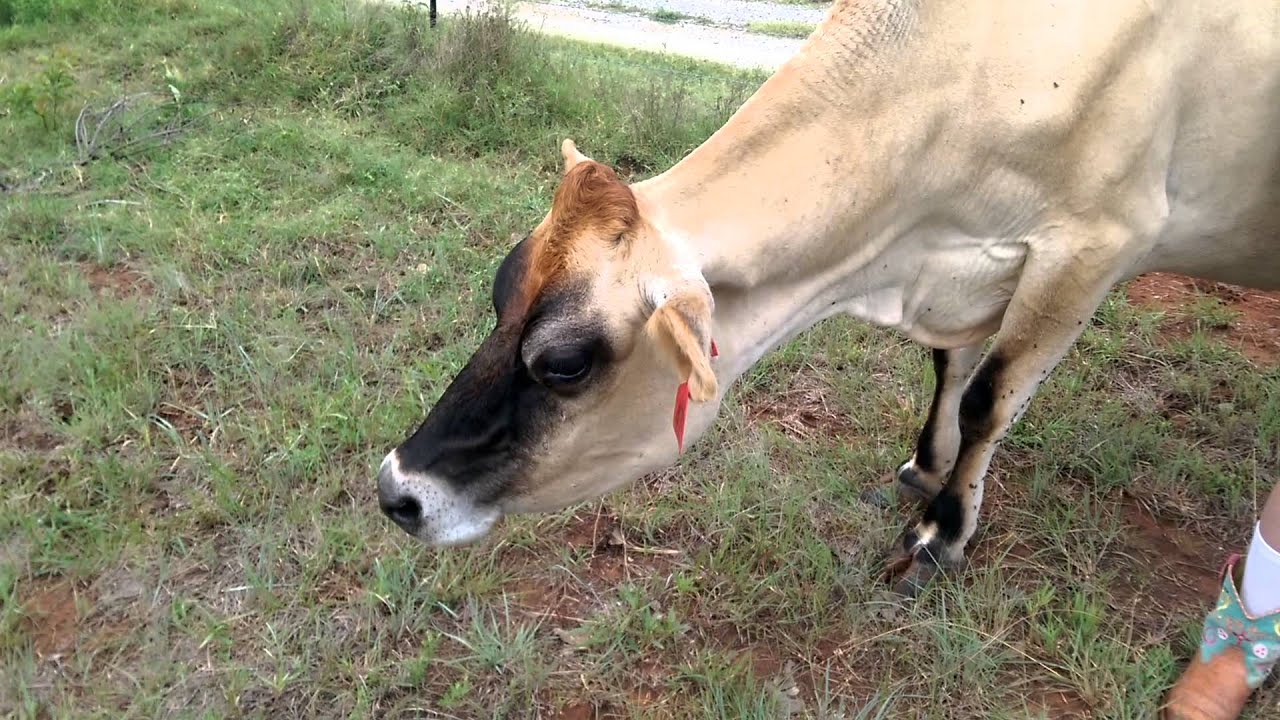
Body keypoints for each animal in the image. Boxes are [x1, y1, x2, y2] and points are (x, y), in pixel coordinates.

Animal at [375, 0, 1280, 600]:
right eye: (500, 291)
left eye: (565, 362)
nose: (395, 491)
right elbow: (949, 368)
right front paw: (926, 468)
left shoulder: (1094, 243)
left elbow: (987, 398)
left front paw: (942, 532)